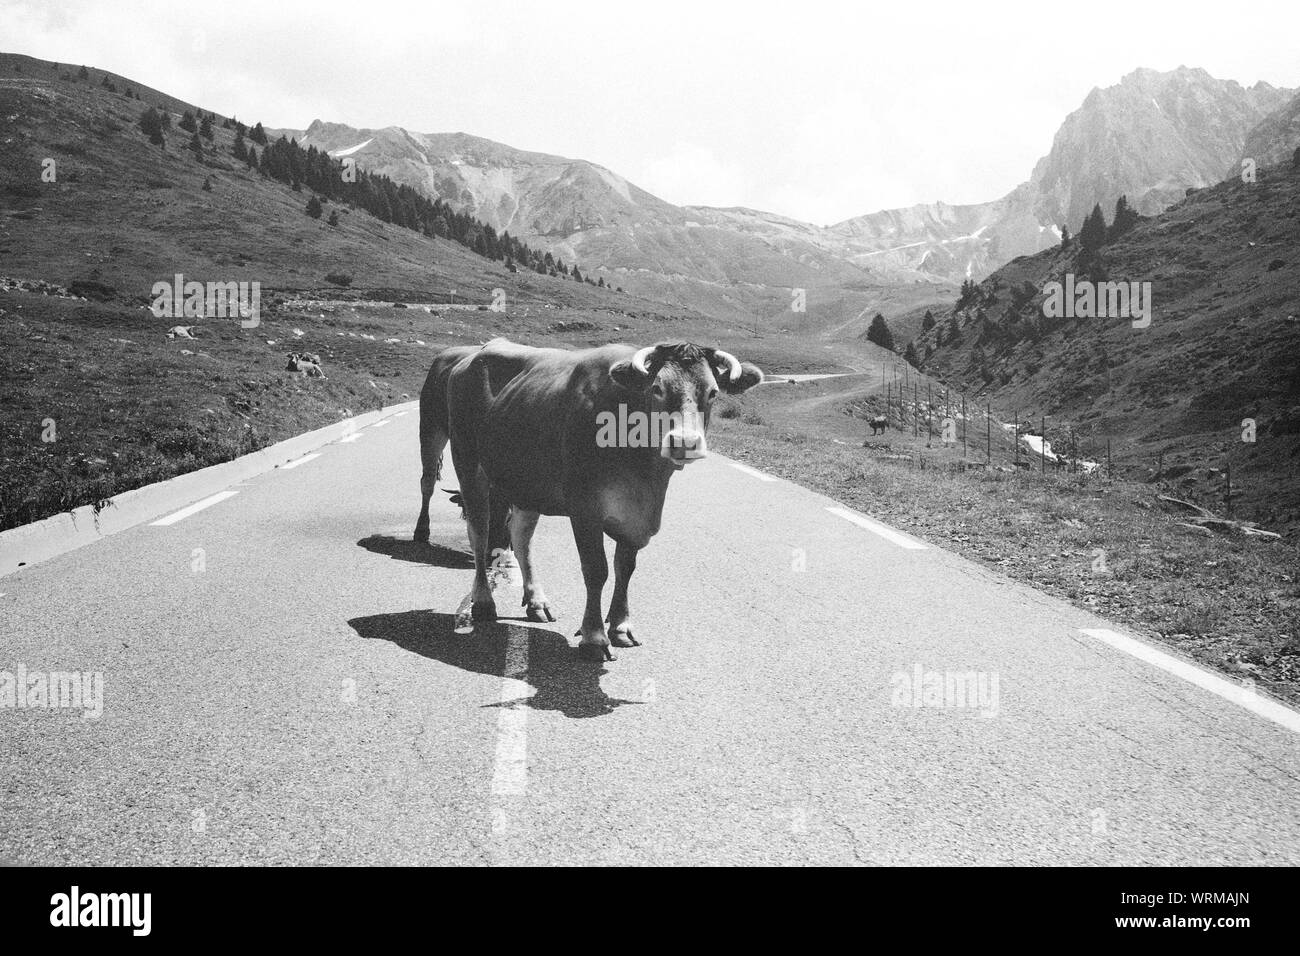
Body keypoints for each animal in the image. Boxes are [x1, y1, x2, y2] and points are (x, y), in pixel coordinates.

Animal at [417, 338, 762, 660]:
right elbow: (596, 571)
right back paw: (483, 600)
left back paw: (536, 601)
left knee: (521, 536)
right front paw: (594, 637)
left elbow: (625, 569)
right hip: (466, 461)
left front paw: (621, 626)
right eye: (658, 388)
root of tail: (473, 354)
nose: (685, 442)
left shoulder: (638, 517)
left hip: (527, 483)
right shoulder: (585, 509)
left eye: (713, 392)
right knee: (478, 530)